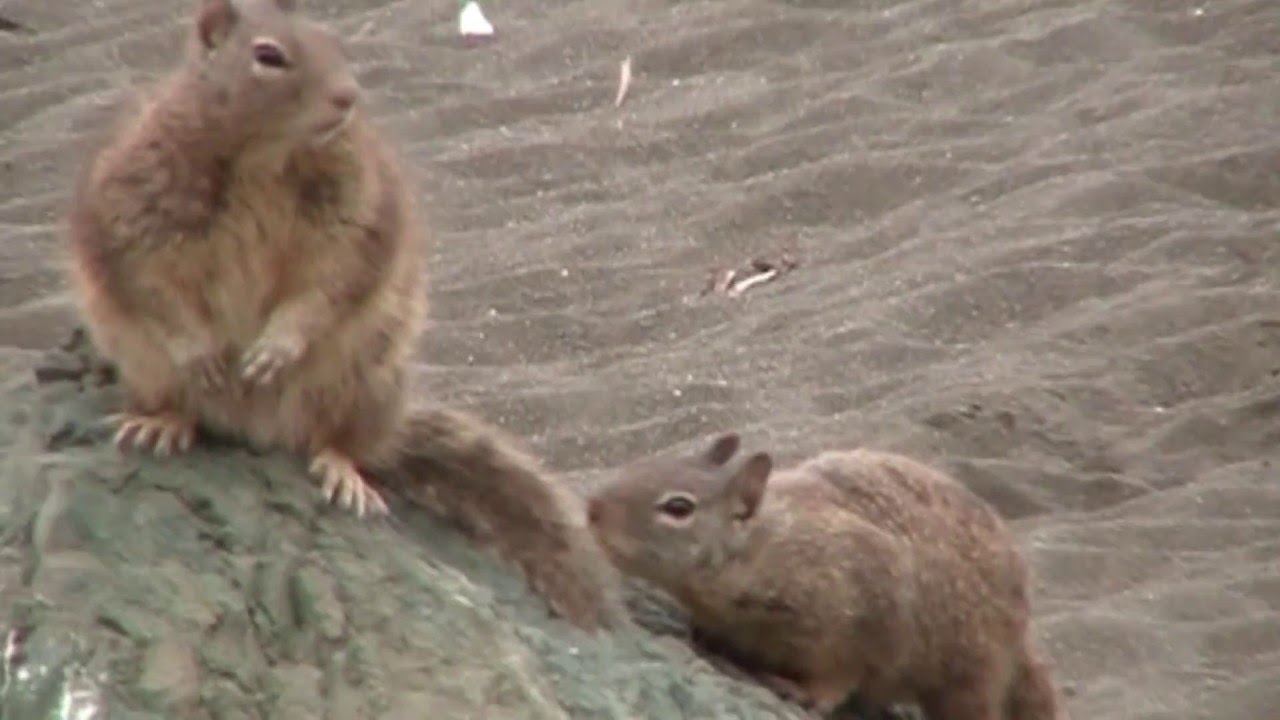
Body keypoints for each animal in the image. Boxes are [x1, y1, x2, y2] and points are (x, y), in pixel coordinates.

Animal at [61, 0, 627, 632]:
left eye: (333, 41)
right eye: (268, 56)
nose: (347, 97)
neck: (266, 156)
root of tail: (253, 427)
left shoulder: (357, 213)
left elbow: (330, 287)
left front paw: (276, 348)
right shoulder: (134, 209)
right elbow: (152, 288)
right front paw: (200, 350)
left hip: (363, 382)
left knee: (337, 440)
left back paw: (342, 471)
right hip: (145, 368)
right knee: (178, 401)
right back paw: (163, 422)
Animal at [587, 432, 1069, 718]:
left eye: (678, 507)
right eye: (640, 464)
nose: (591, 509)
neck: (763, 547)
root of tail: (1022, 635)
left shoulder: (869, 609)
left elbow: (843, 672)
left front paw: (804, 692)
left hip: (968, 675)